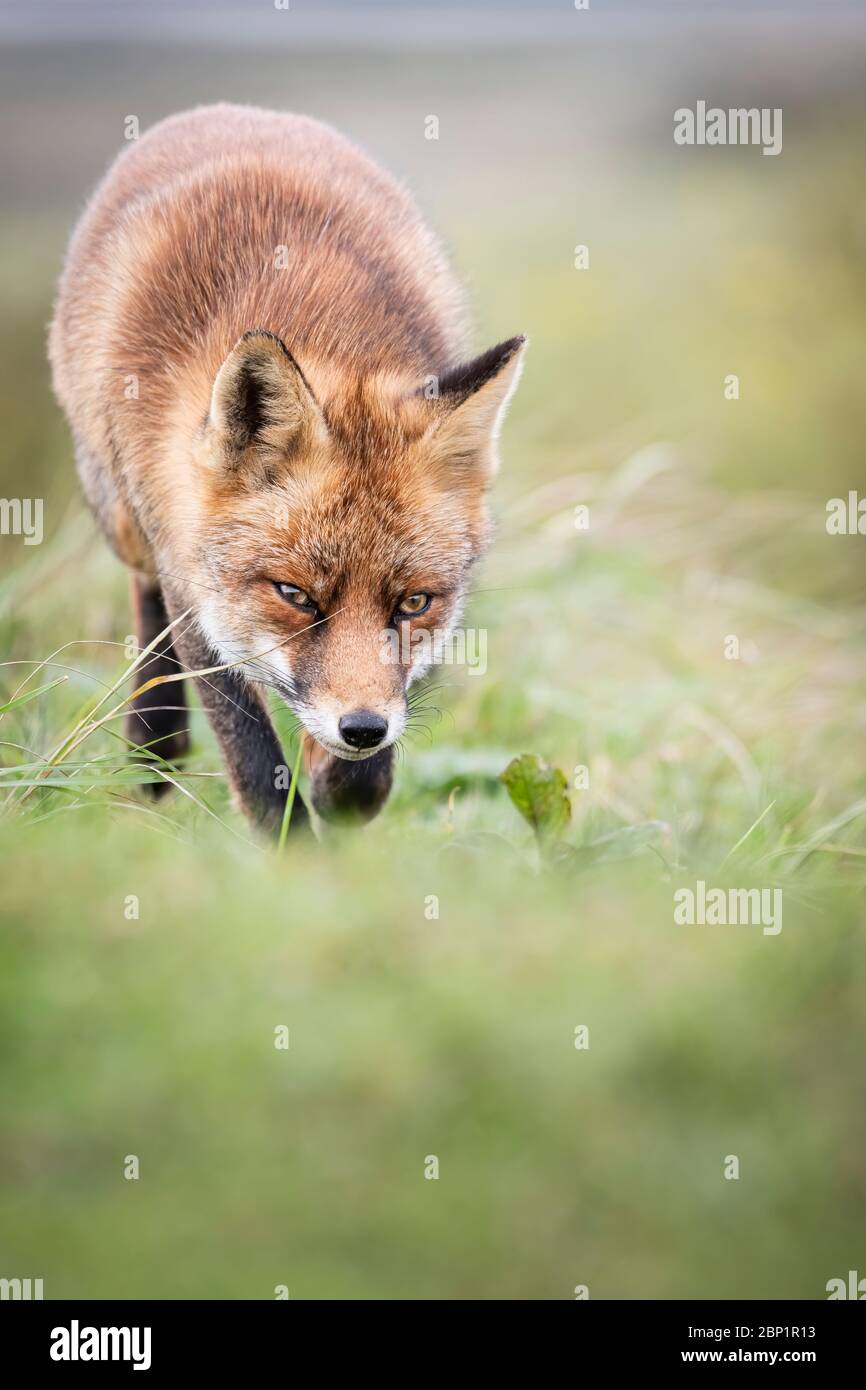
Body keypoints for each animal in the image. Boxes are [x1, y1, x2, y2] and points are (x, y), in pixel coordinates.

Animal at [49, 103, 525, 835]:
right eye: (295, 595)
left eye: (415, 602)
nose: (362, 728)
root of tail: (230, 111)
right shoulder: (198, 596)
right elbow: (252, 757)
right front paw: (290, 851)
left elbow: (361, 778)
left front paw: (339, 787)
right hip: (122, 517)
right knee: (147, 611)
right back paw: (154, 751)